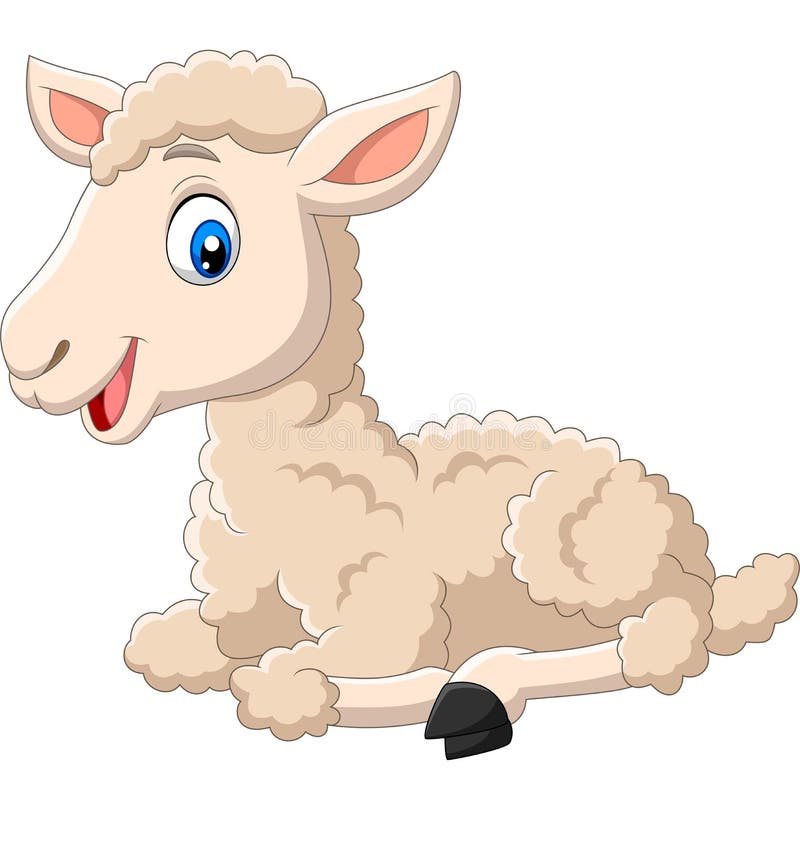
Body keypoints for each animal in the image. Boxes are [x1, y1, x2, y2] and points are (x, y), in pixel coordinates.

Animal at [3, 50, 796, 759]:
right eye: (84, 205)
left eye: (208, 246)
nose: (30, 352)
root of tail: (694, 543)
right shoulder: (229, 607)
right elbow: (171, 640)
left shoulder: (391, 619)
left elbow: (320, 669)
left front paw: (299, 689)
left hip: (564, 541)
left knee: (665, 636)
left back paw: (479, 692)